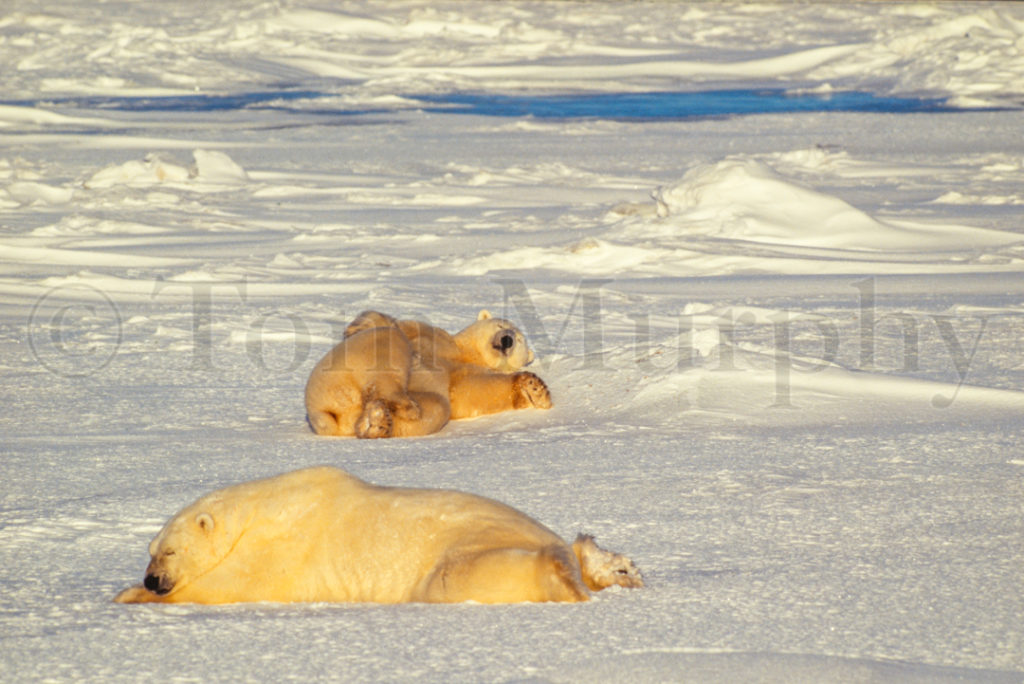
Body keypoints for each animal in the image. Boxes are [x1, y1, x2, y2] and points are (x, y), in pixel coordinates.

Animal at [114, 466, 643, 605]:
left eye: (169, 550)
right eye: (150, 550)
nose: (154, 578)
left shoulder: (276, 551)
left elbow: (227, 586)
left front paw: (128, 595)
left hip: (467, 552)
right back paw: (616, 567)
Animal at [304, 310, 552, 438]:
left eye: (519, 340)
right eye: (500, 325)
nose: (507, 339)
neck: (466, 353)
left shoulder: (465, 374)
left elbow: (479, 392)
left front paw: (536, 389)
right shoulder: (438, 337)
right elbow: (404, 326)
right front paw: (357, 325)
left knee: (436, 407)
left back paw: (376, 422)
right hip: (339, 368)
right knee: (390, 343)